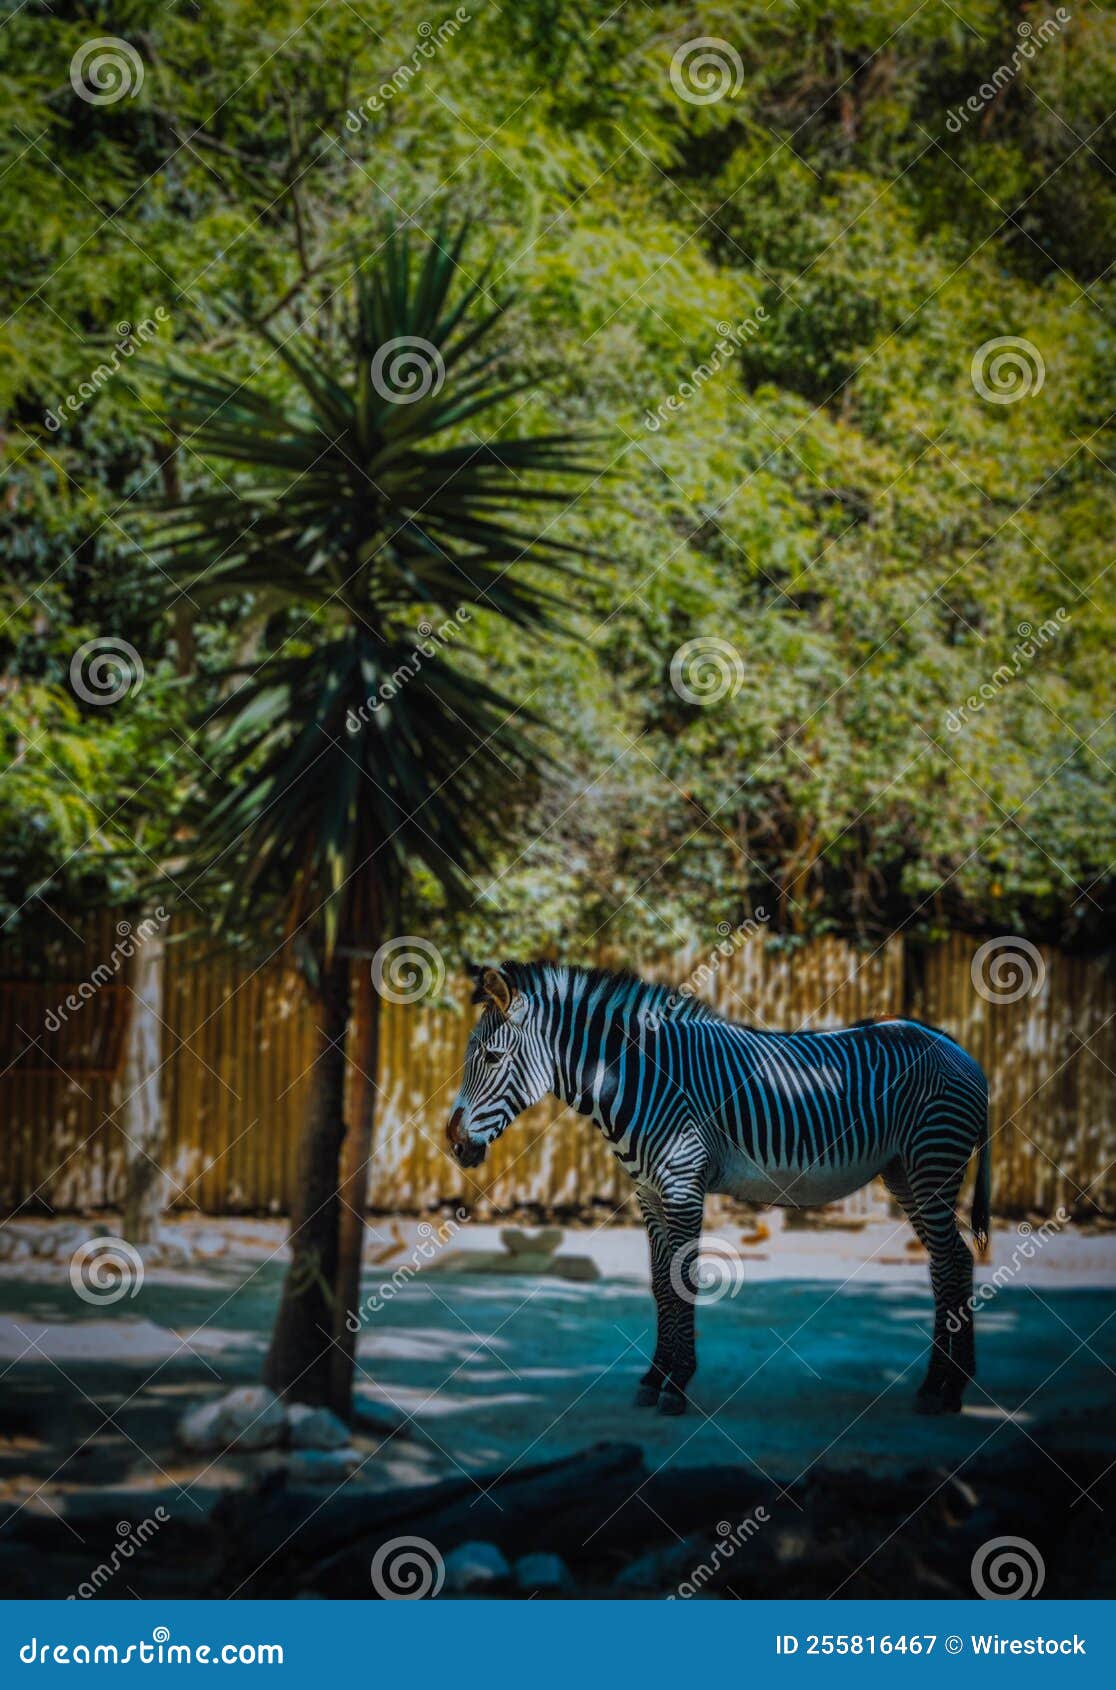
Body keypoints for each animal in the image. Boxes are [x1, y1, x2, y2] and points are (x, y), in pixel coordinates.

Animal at [447, 961, 991, 1417]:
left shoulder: (682, 1184)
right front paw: (654, 1378)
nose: (454, 1143)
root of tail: (960, 1049)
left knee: (949, 1264)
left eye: (491, 1057)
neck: (641, 1081)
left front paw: (677, 1384)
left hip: (933, 1161)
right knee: (953, 1261)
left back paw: (942, 1388)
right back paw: (946, 1386)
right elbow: (660, 1284)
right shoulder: (649, 1193)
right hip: (906, 1172)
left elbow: (683, 1280)